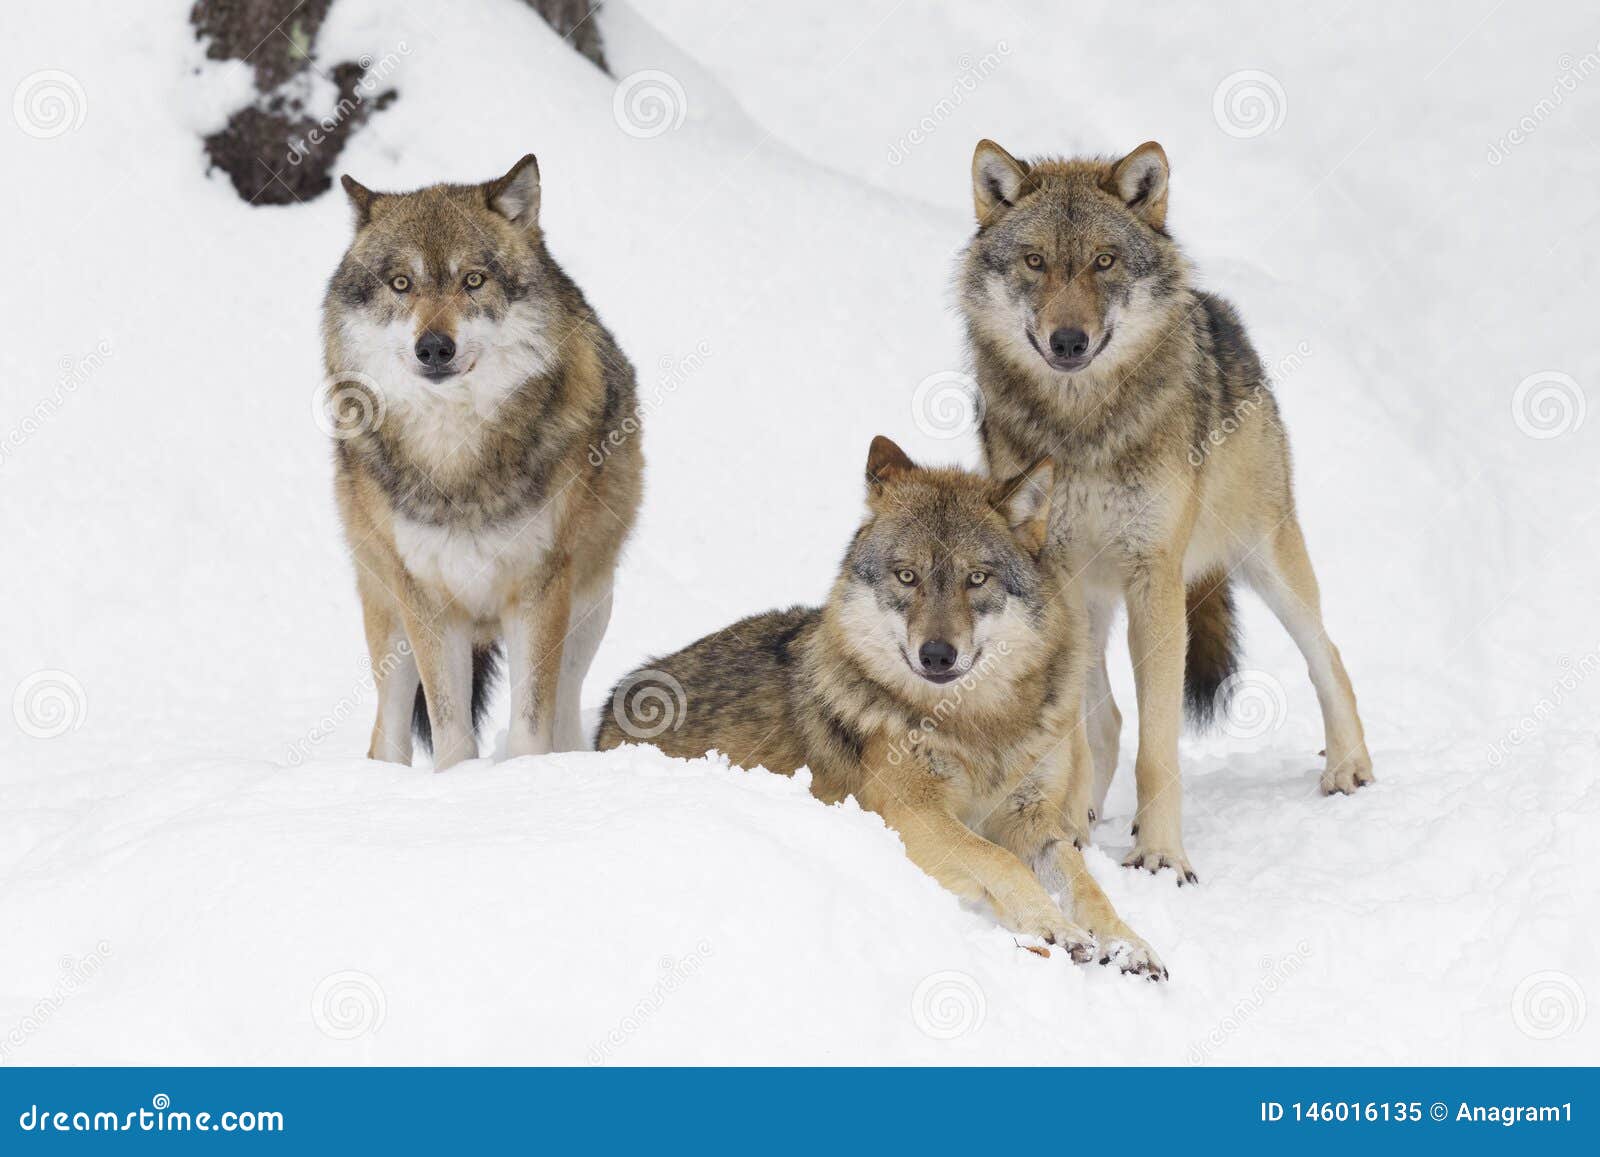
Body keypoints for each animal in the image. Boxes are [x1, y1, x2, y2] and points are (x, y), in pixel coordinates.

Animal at [323, 154, 641, 769]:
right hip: (389, 616)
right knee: (386, 734)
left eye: (473, 280)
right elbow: (451, 731)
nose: (434, 348)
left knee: (564, 711)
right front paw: (462, 781)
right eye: (401, 283)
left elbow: (530, 727)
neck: (456, 459)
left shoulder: (540, 588)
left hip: (590, 606)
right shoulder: (425, 597)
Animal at [596, 437, 1164, 977]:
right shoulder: (914, 814)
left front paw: (1129, 944)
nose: (937, 654)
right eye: (907, 576)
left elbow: (1085, 884)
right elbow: (1001, 861)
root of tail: (616, 703)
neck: (978, 724)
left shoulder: (1034, 818)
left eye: (976, 578)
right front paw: (1055, 929)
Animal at [959, 139, 1372, 883]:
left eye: (1104, 261)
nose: (1069, 341)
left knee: (1326, 650)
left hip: (1263, 557)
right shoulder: (1057, 577)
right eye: (1035, 261)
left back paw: (1350, 767)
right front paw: (1068, 833)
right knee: (1105, 722)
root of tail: (1218, 311)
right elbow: (1085, 734)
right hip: (1092, 603)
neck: (1085, 429)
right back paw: (1084, 814)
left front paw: (1159, 855)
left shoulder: (1156, 576)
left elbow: (1159, 746)